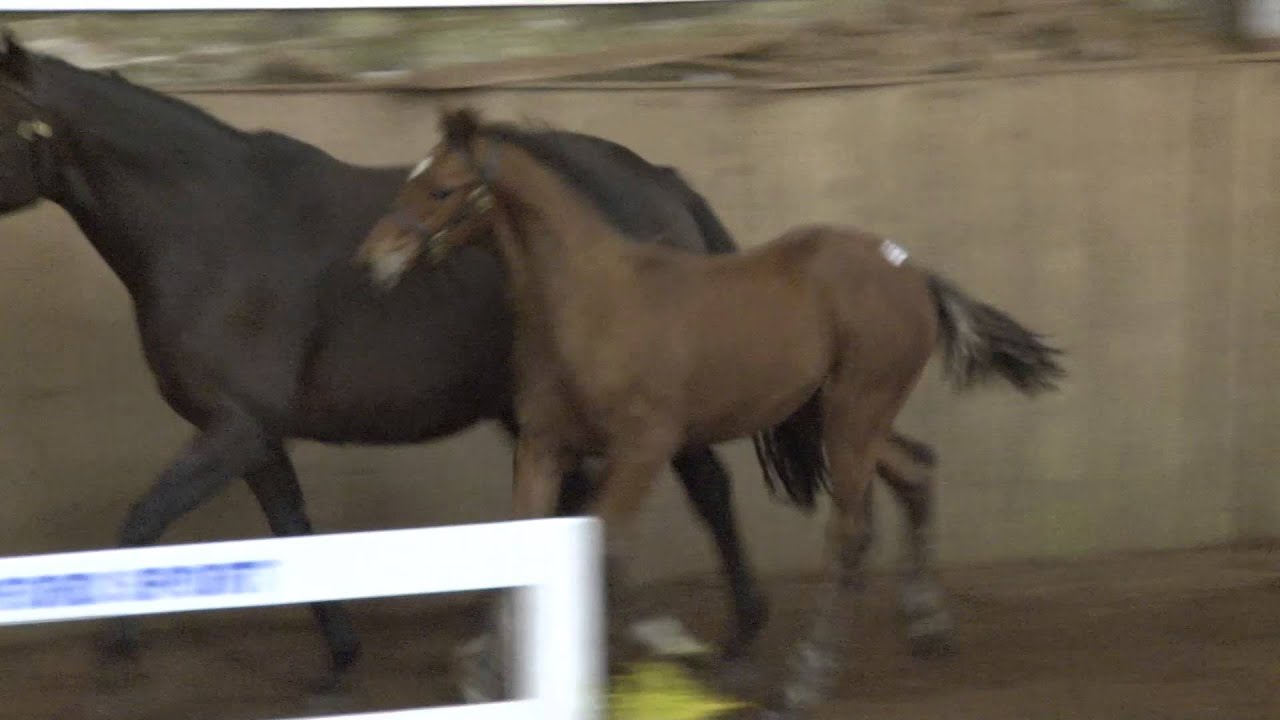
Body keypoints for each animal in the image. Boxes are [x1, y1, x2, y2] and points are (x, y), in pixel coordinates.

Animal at [0, 30, 849, 692]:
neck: (211, 226)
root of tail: (661, 183)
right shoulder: (255, 436)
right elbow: (292, 531)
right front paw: (340, 661)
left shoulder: (230, 429)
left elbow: (143, 520)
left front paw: (116, 655)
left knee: (701, 488)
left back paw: (736, 634)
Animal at [357, 107, 1066, 718]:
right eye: (412, 179)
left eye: (442, 189)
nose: (375, 257)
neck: (588, 301)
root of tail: (913, 271)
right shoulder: (543, 444)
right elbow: (524, 542)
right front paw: (487, 675)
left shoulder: (643, 448)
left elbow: (607, 553)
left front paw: (652, 664)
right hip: (841, 416)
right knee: (916, 469)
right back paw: (928, 626)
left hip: (855, 412)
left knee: (851, 532)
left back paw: (805, 681)